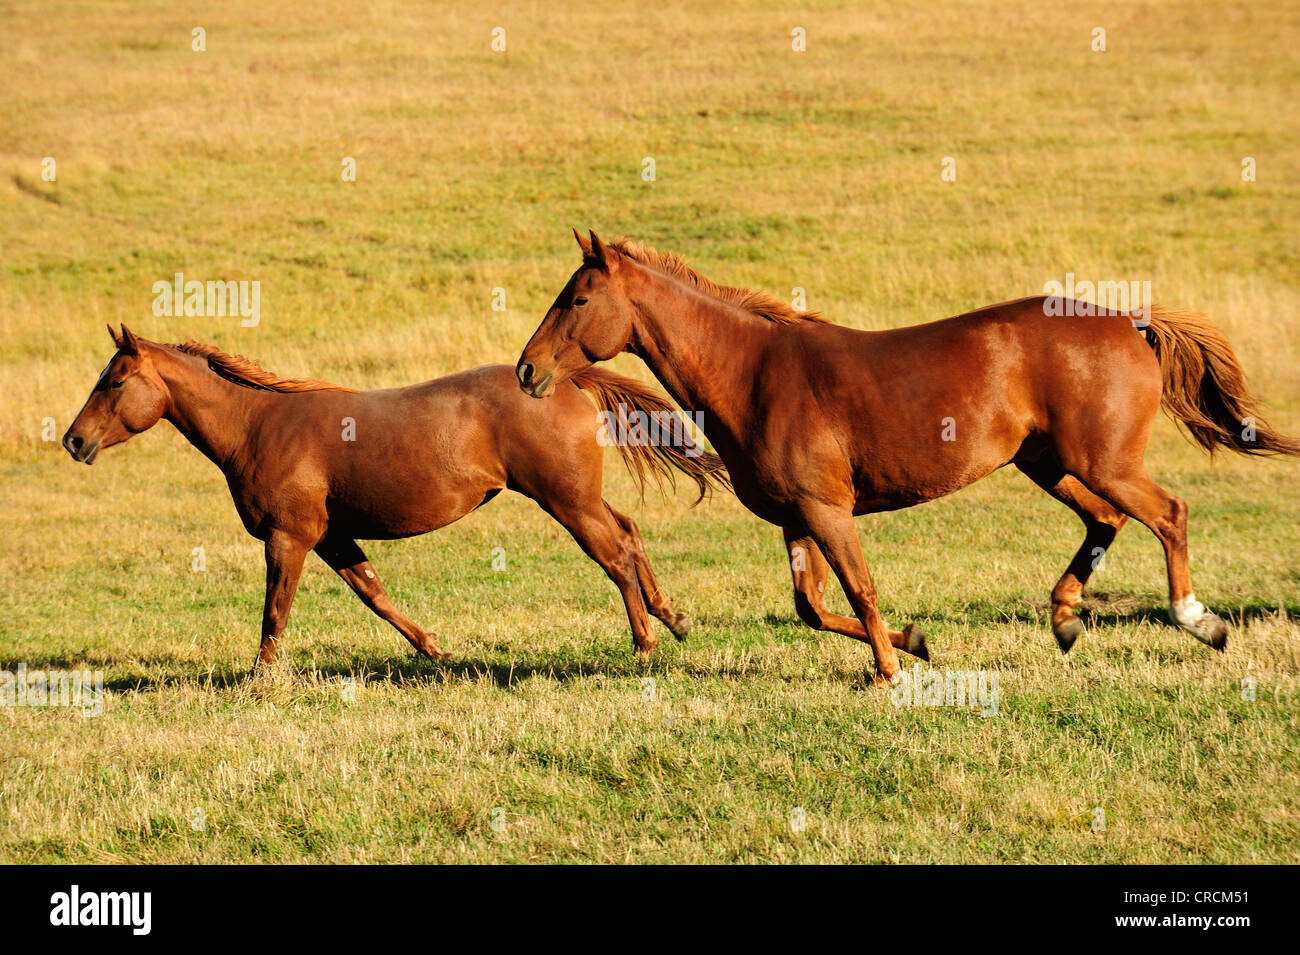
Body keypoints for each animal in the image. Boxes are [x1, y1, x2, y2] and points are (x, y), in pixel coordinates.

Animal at [63, 324, 729, 668]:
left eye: (115, 380)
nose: (73, 440)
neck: (259, 426)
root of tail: (561, 379)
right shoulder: (331, 536)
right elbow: (374, 594)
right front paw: (434, 649)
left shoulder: (289, 537)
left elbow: (275, 611)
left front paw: (258, 680)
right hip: (579, 498)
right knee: (631, 534)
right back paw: (673, 618)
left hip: (568, 502)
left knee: (614, 553)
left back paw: (645, 643)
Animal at [515, 230, 1300, 684]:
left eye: (577, 298)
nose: (526, 371)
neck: (756, 372)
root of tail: (1129, 322)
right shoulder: (797, 517)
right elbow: (812, 608)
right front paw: (915, 642)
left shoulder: (828, 510)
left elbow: (859, 591)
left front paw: (890, 669)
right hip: (1049, 464)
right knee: (1105, 522)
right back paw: (1065, 616)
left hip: (1101, 463)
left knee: (1168, 513)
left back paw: (1198, 620)